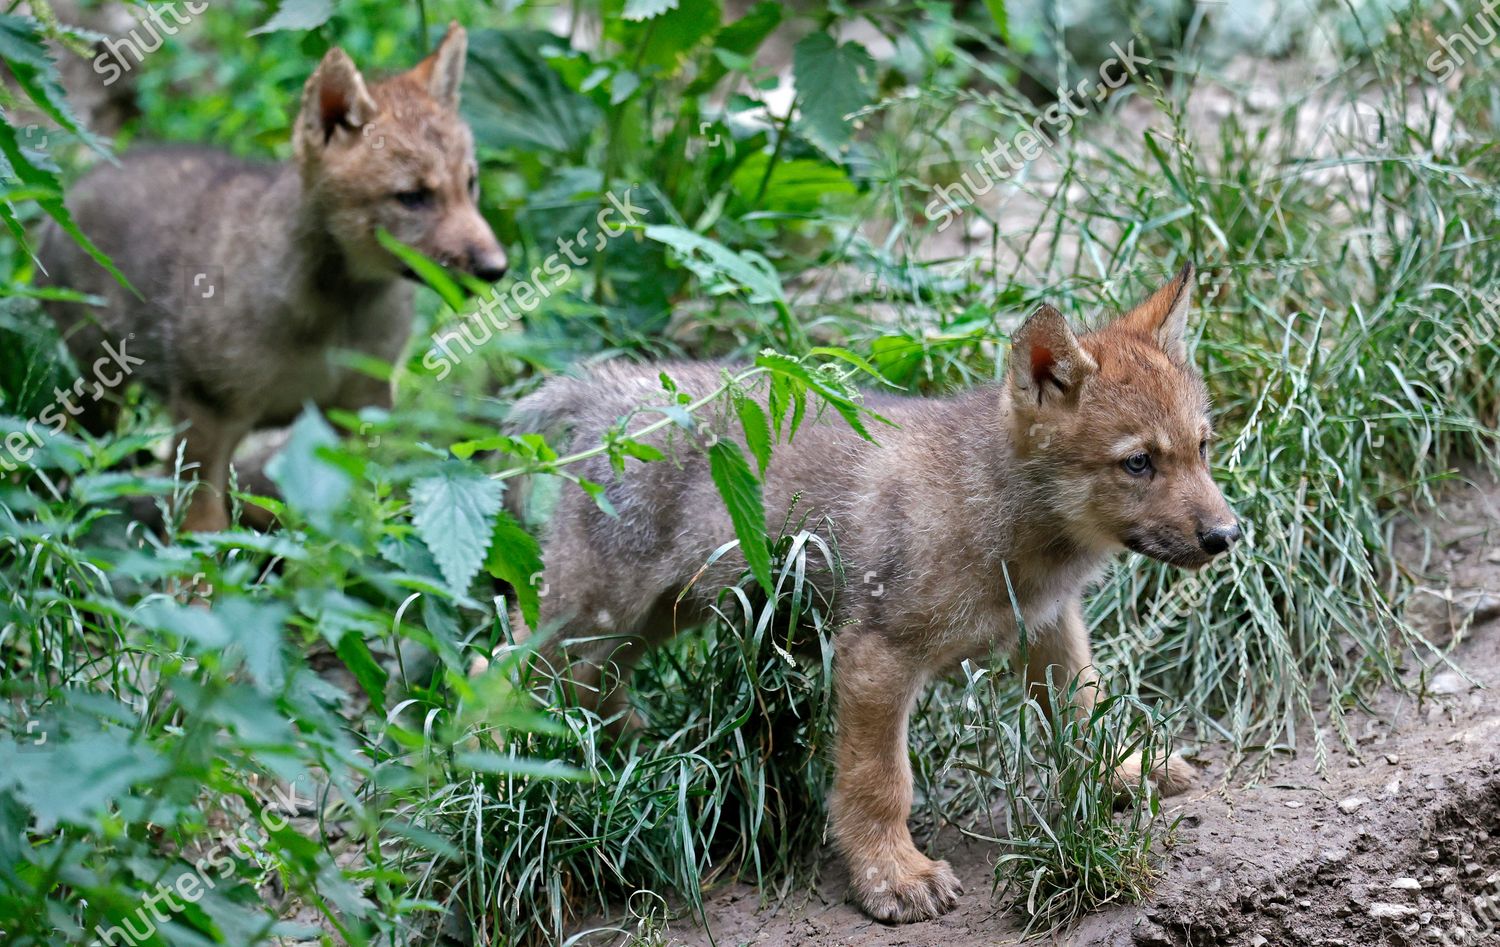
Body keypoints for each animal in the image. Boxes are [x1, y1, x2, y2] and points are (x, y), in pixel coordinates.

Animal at [37, 22, 506, 532]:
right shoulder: (208, 411)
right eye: (412, 197)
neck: (338, 313)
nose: (495, 268)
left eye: (470, 184)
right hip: (96, 386)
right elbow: (204, 530)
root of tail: (77, 187)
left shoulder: (360, 407)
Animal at [503, 263, 1237, 922]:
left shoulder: (1049, 624)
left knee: (595, 688)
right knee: (512, 665)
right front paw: (892, 875)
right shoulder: (875, 657)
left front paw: (1124, 773)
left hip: (658, 615)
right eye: (1137, 462)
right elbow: (880, 782)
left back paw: (623, 753)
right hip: (594, 614)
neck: (1003, 515)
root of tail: (610, 391)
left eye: (1202, 448)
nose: (1227, 535)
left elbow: (1082, 706)